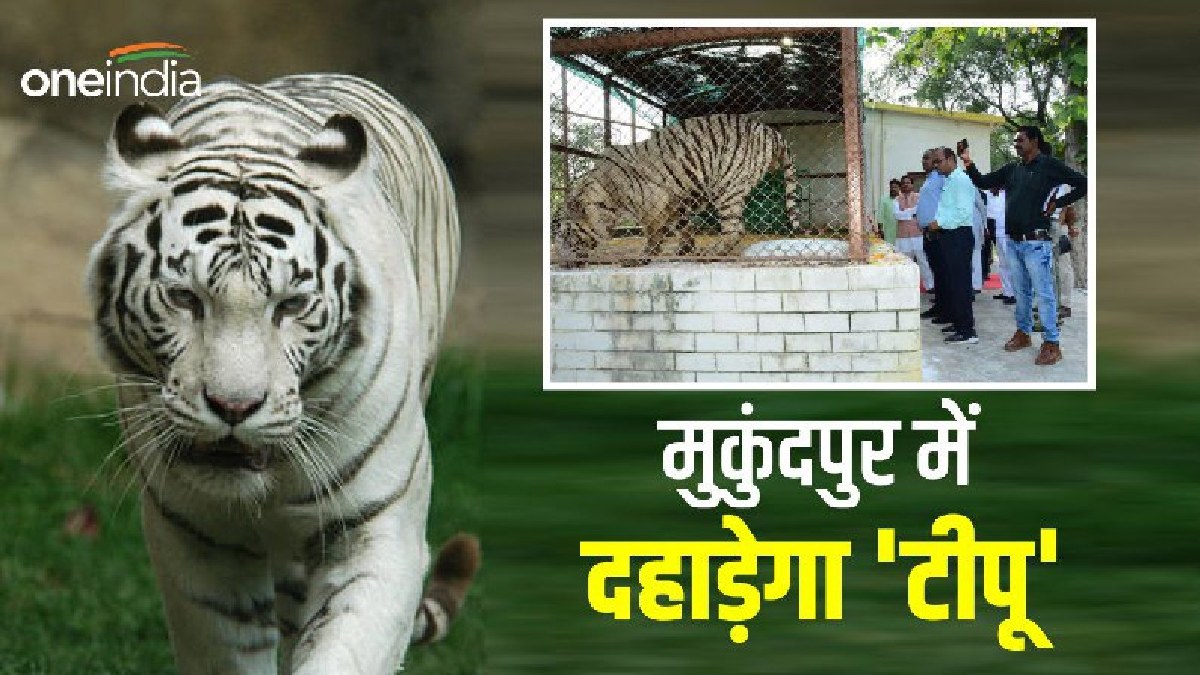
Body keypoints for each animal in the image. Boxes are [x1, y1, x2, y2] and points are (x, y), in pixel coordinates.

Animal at [555, 114, 798, 264]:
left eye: (567, 235)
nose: (560, 261)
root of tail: (769, 130)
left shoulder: (653, 204)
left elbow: (653, 234)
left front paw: (643, 257)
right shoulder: (678, 199)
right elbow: (683, 226)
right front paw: (683, 250)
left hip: (726, 186)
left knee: (735, 229)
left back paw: (712, 253)